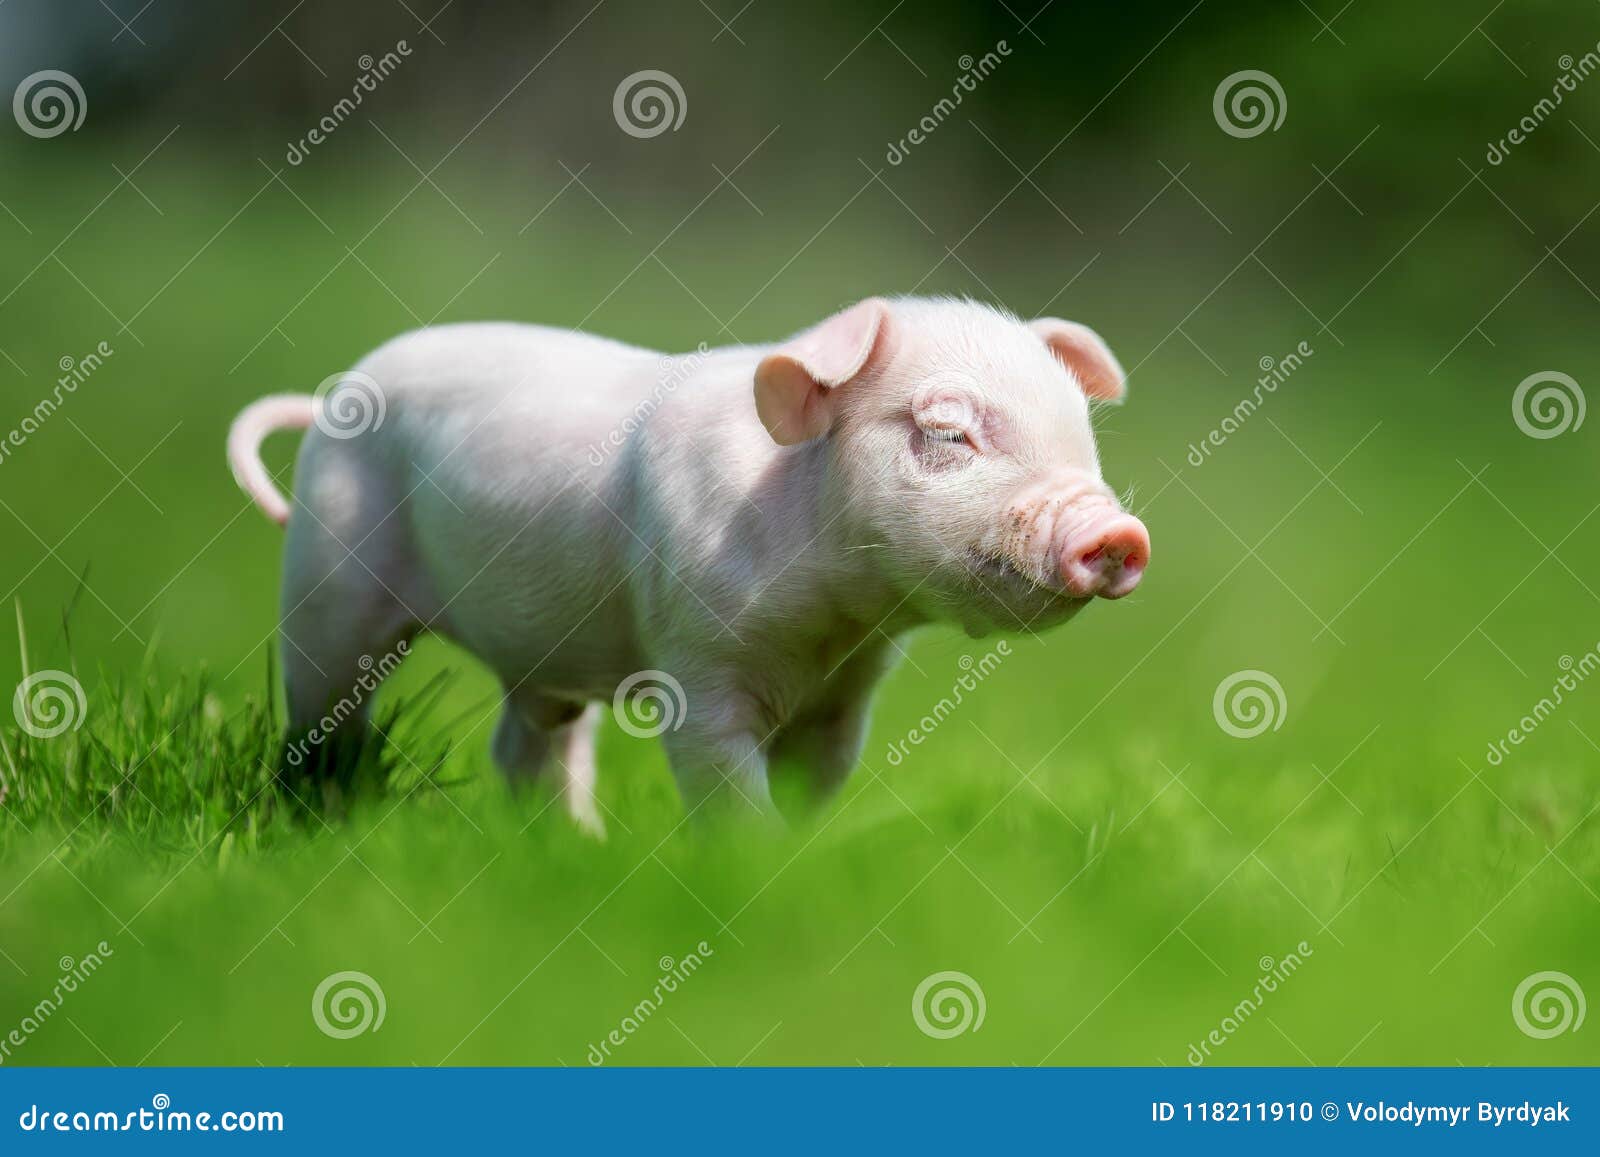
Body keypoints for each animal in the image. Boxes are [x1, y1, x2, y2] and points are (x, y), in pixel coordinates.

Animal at [227, 297, 1149, 834]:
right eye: (948, 431)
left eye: (1083, 435)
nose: (1120, 531)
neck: (832, 618)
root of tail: (329, 400)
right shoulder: (698, 662)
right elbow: (726, 785)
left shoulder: (846, 697)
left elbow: (815, 783)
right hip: (326, 574)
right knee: (326, 711)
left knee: (526, 743)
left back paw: (572, 849)